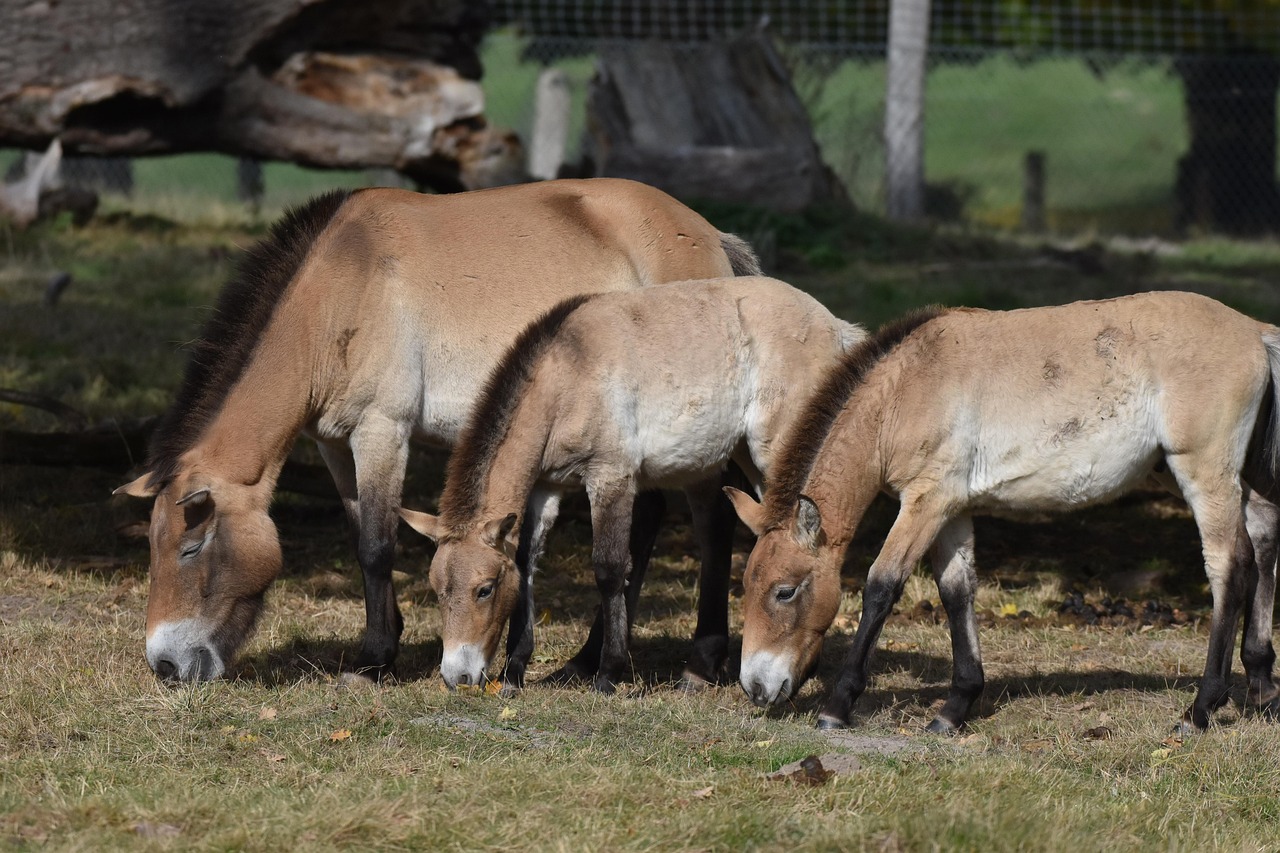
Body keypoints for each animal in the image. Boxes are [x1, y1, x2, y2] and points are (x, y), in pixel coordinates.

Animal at [113, 178, 762, 683]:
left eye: (190, 547)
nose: (165, 665)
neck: (342, 291)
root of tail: (709, 236)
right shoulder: (334, 445)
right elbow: (360, 535)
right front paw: (389, 640)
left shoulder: (382, 431)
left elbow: (377, 546)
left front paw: (373, 661)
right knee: (648, 521)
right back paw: (586, 660)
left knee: (711, 522)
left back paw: (699, 661)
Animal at [399, 276, 865, 693]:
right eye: (437, 590)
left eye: (484, 590)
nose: (457, 678)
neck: (568, 375)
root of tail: (836, 327)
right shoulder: (544, 489)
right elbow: (528, 563)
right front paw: (514, 672)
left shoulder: (611, 478)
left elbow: (608, 569)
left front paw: (608, 673)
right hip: (749, 457)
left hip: (774, 450)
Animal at [725, 291, 1280, 733]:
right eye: (747, 585)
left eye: (784, 591)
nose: (756, 687)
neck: (908, 389)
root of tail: (1254, 329)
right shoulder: (950, 509)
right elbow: (957, 592)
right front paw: (954, 709)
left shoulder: (924, 503)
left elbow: (882, 585)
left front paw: (838, 707)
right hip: (1223, 476)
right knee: (1265, 536)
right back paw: (1260, 687)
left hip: (1204, 473)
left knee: (1230, 569)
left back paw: (1201, 710)